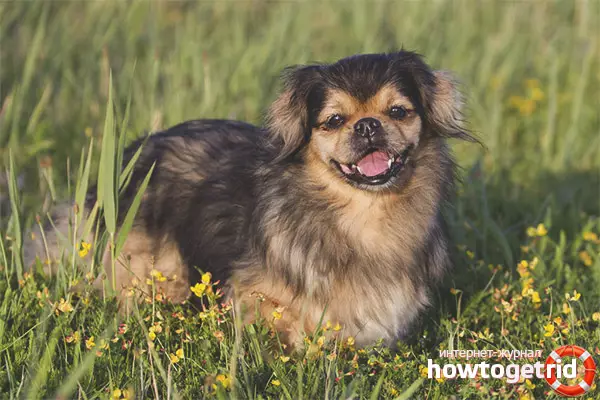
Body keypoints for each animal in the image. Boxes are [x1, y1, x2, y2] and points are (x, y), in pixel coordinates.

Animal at [24, 51, 474, 348]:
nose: (367, 125)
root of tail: (134, 152)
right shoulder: (251, 295)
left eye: (397, 112)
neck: (365, 218)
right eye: (333, 121)